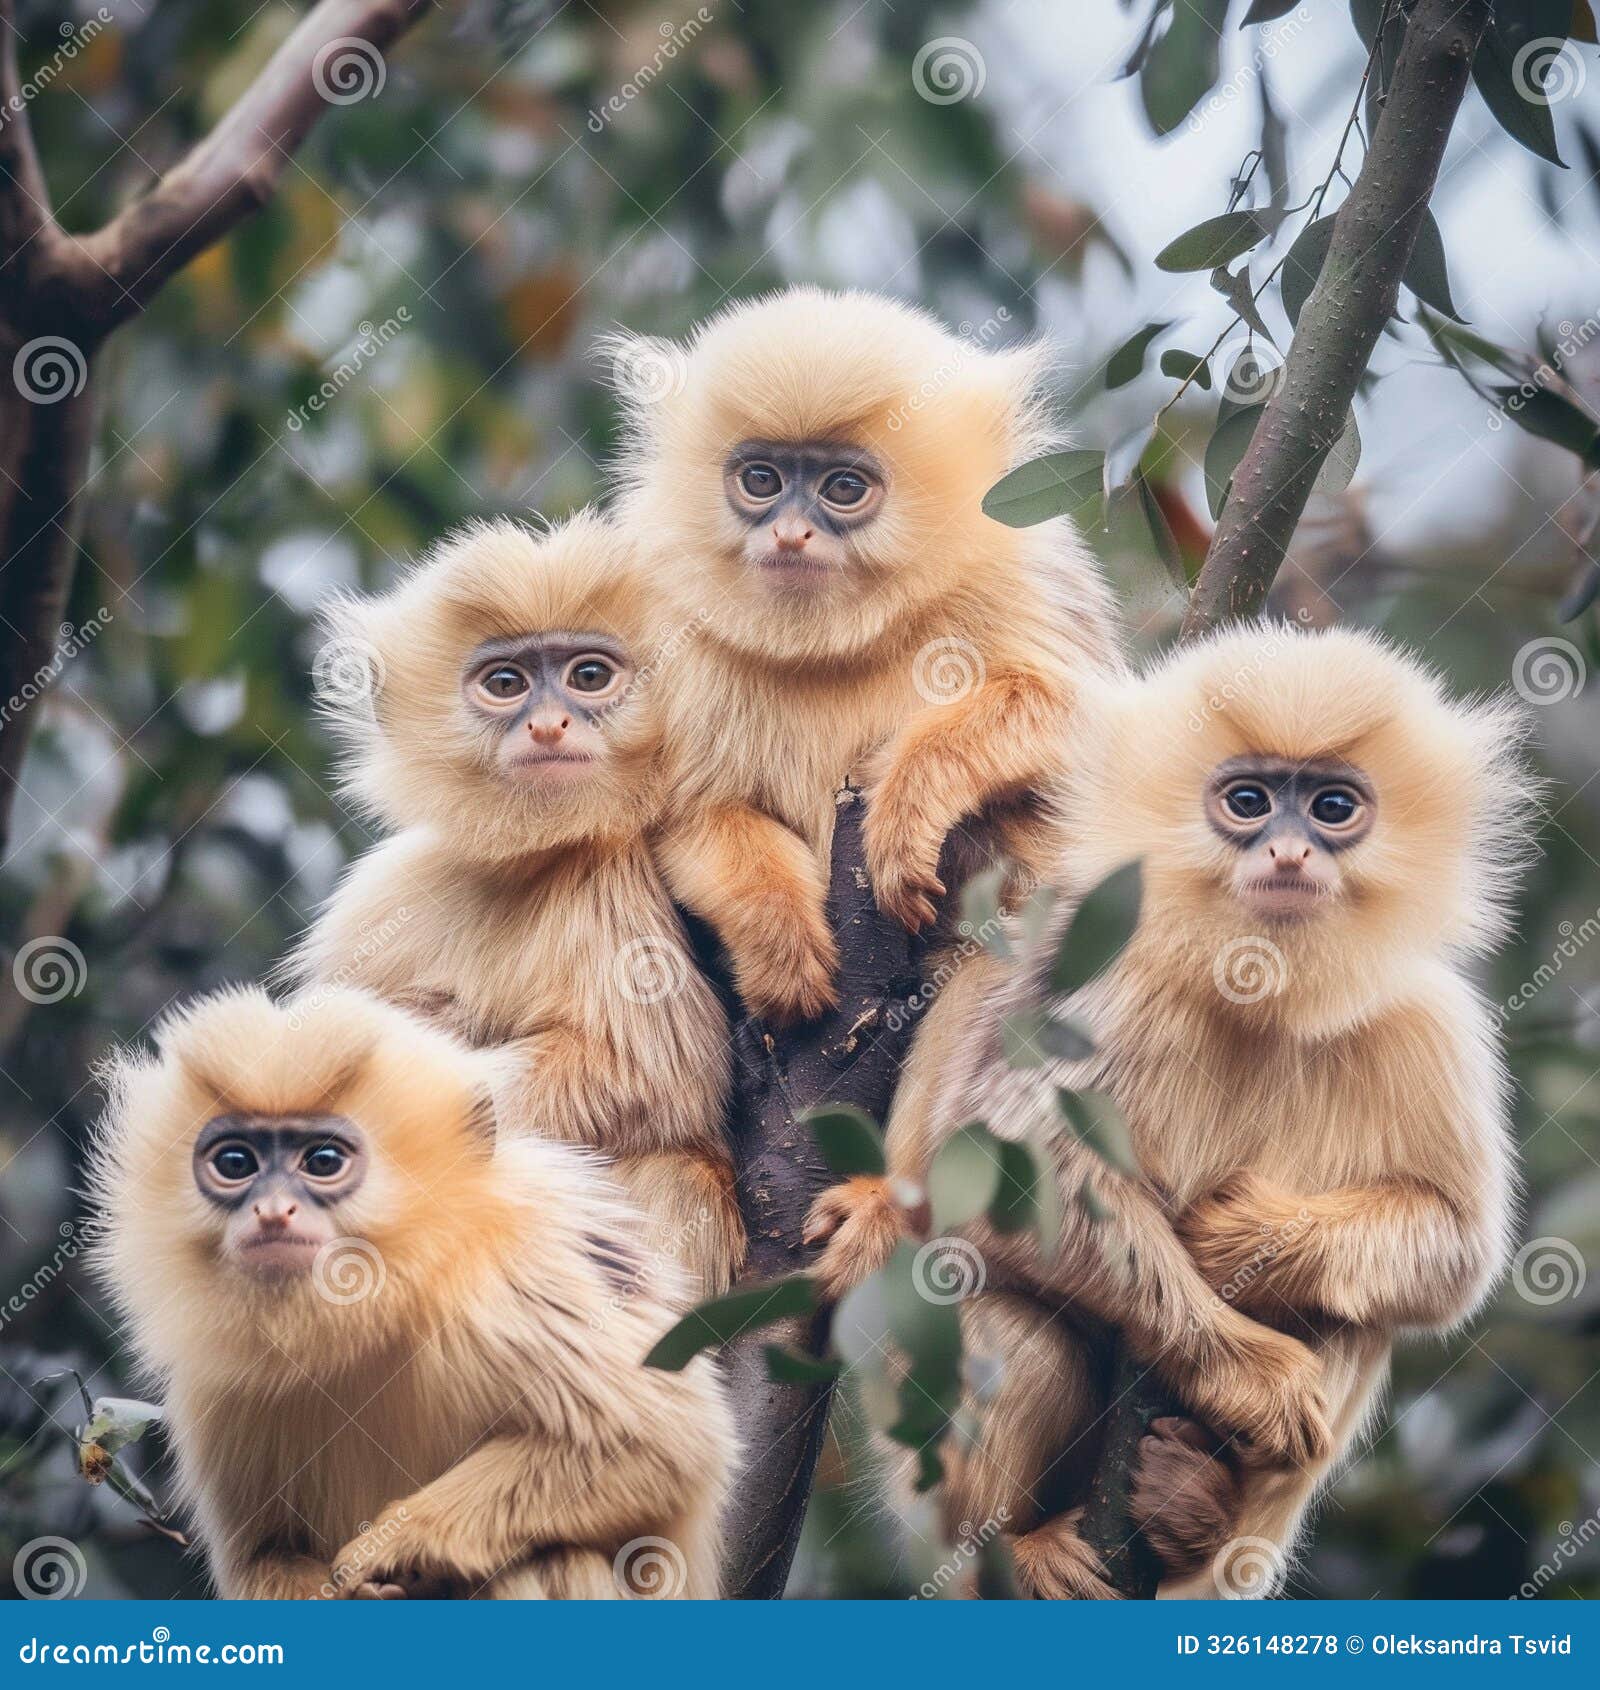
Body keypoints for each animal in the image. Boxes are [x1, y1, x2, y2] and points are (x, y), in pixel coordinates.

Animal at [86, 986, 736, 1600]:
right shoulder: (216, 1386)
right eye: (235, 1163)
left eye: (323, 1160)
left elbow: (660, 1442)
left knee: (548, 1557)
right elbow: (264, 1555)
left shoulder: (510, 1279)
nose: (272, 1212)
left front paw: (386, 1550)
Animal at [279, 512, 744, 1300]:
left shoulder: (613, 875)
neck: (537, 862)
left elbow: (651, 1076)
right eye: (506, 683)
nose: (549, 725)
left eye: (589, 676)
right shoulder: (383, 894)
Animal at [607, 286, 1122, 1025]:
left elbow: (1091, 723)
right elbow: (690, 814)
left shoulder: (1019, 572)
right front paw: (784, 950)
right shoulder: (661, 621)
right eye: (761, 480)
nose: (790, 534)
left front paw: (906, 807)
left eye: (843, 489)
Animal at [804, 623, 1530, 1597]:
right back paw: (1023, 1551)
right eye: (1249, 801)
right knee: (1007, 1323)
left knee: (1356, 1314)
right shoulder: (1108, 971)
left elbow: (1456, 1252)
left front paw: (1245, 1234)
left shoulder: (1431, 1025)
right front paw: (1255, 1376)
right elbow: (993, 1172)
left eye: (1334, 807)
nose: (1290, 852)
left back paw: (1190, 1510)